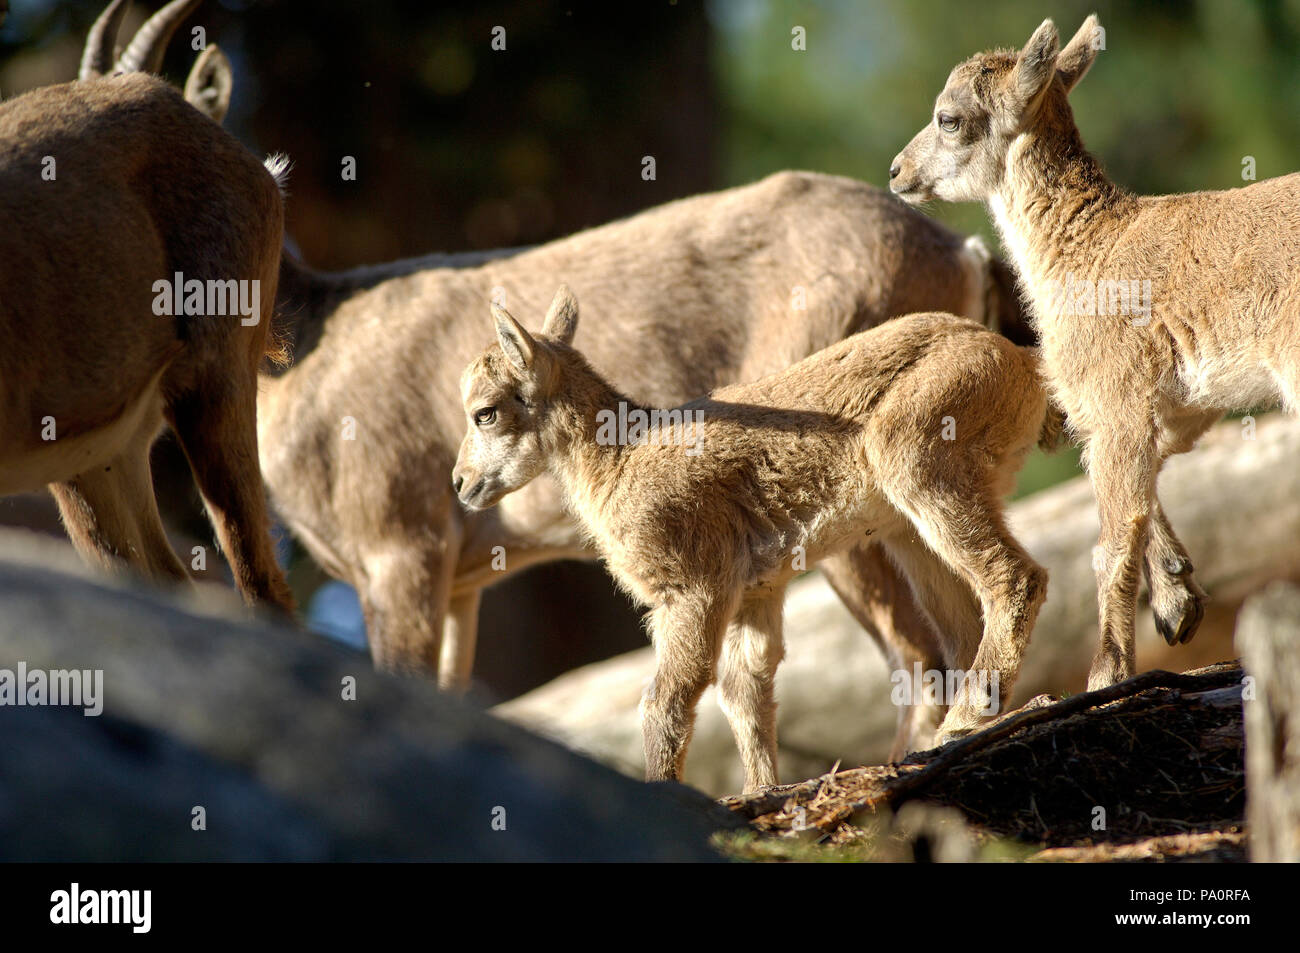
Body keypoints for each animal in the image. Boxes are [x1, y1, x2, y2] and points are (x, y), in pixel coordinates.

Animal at [453, 287, 1054, 791]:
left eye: (485, 412)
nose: (461, 483)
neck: (619, 460)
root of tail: (1019, 364)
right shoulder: (754, 594)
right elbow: (744, 694)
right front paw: (760, 791)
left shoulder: (693, 588)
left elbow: (667, 700)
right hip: (908, 531)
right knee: (962, 626)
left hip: (919, 465)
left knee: (1015, 577)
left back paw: (966, 718)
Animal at [890, 14, 1299, 689]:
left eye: (948, 117)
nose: (897, 172)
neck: (1083, 252)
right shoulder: (1163, 412)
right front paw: (1177, 600)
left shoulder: (1117, 399)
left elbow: (1109, 544)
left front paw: (1107, 673)